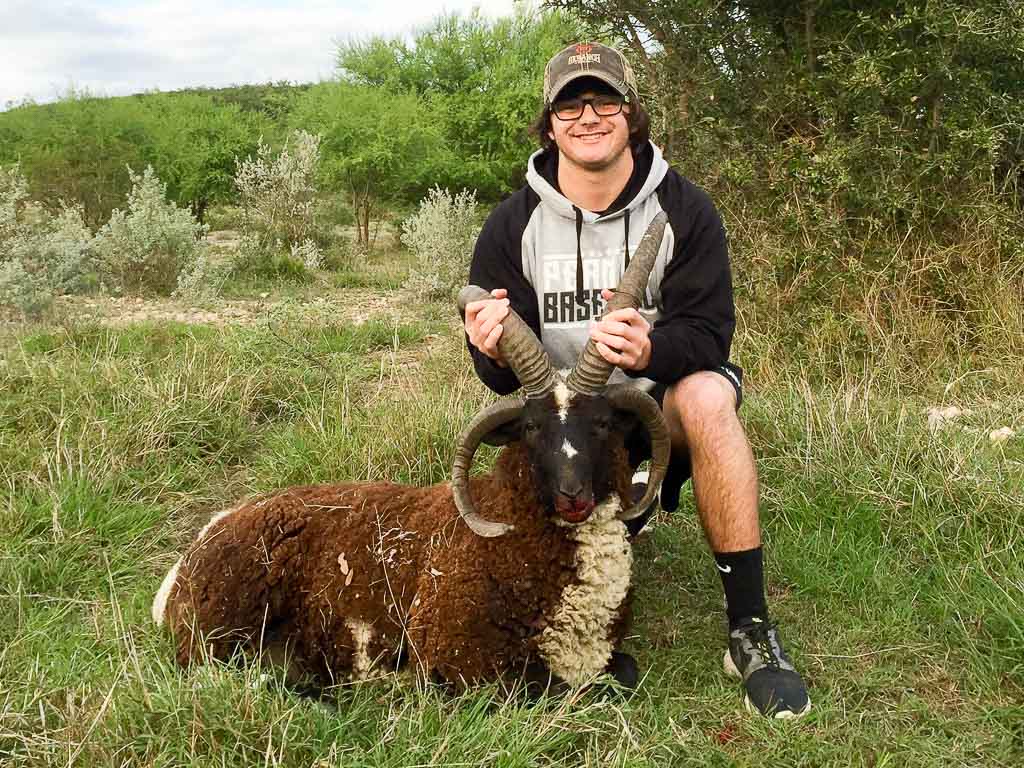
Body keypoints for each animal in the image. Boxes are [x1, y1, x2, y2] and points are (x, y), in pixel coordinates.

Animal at [152, 214, 671, 693]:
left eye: (602, 424)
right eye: (530, 428)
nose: (572, 495)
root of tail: (184, 565)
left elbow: (622, 674)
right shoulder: (457, 658)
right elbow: (539, 689)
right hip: (222, 631)